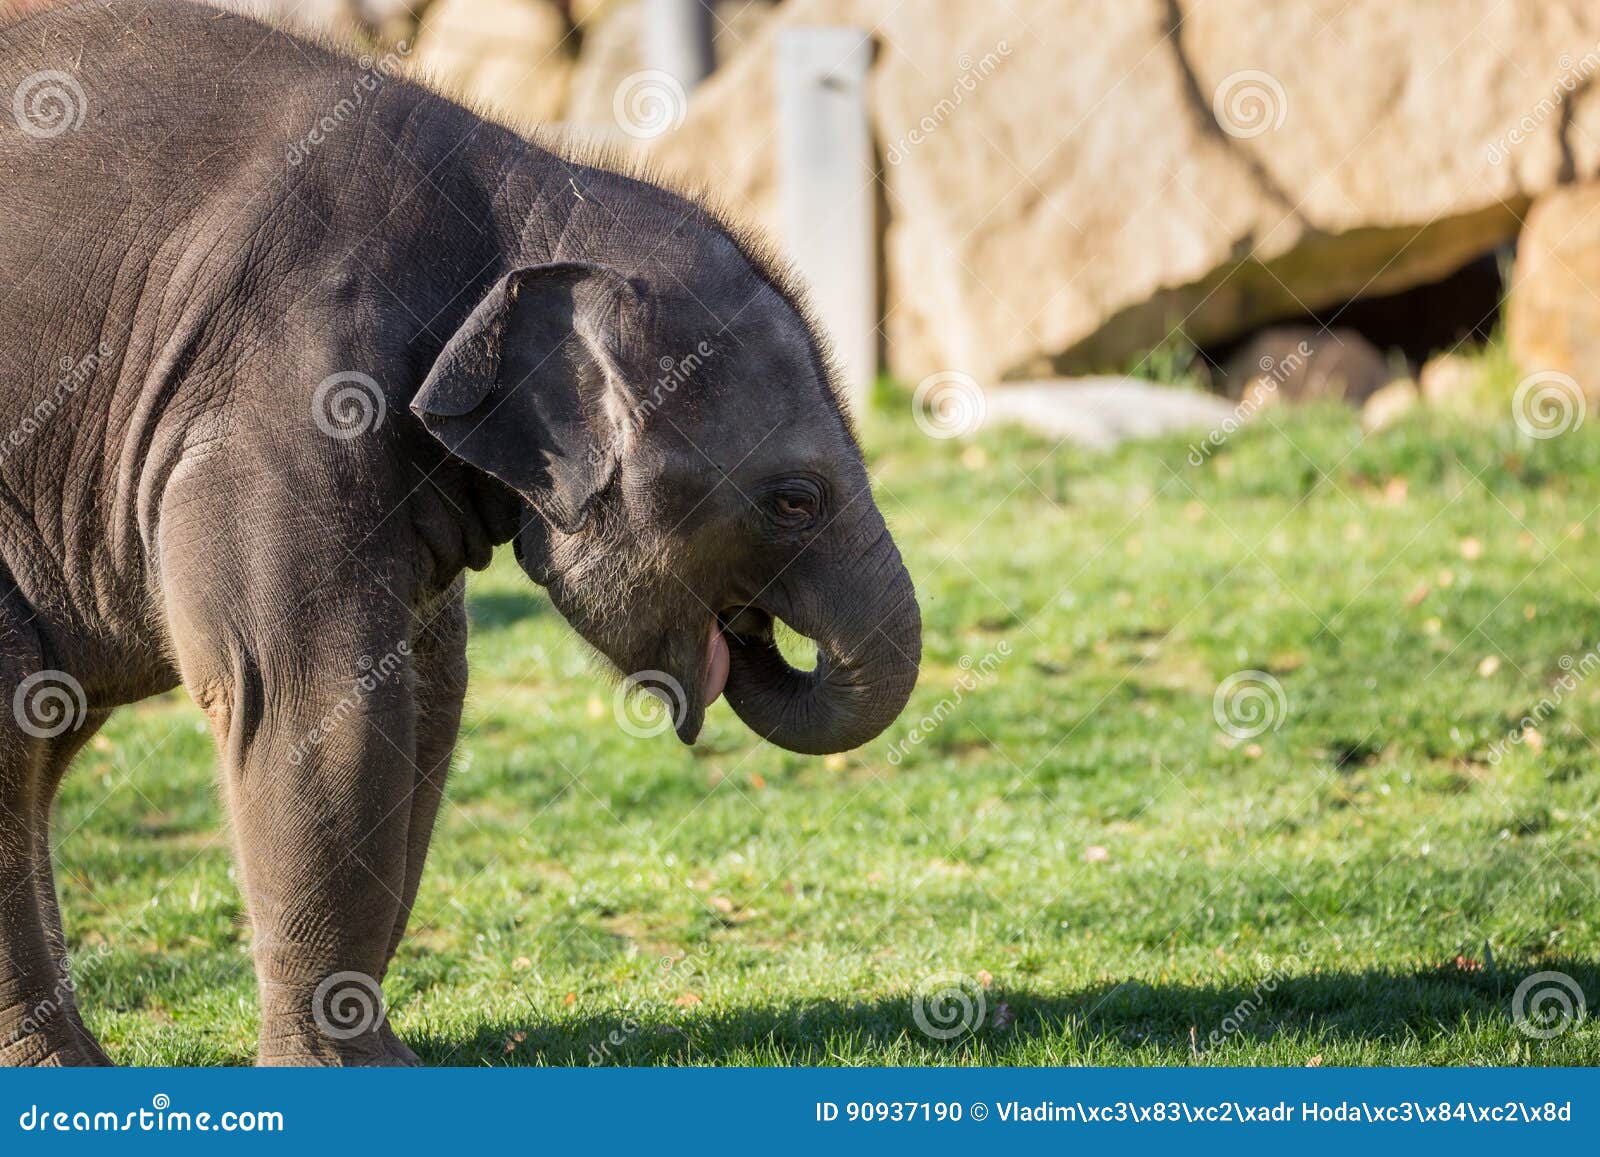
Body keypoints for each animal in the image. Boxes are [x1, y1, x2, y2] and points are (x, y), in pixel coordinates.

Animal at [0, 0, 920, 1065]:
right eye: (795, 500)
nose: (752, 635)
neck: (530, 189)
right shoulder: (281, 398)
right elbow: (306, 697)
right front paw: (337, 1072)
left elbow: (429, 694)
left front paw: (386, 1061)